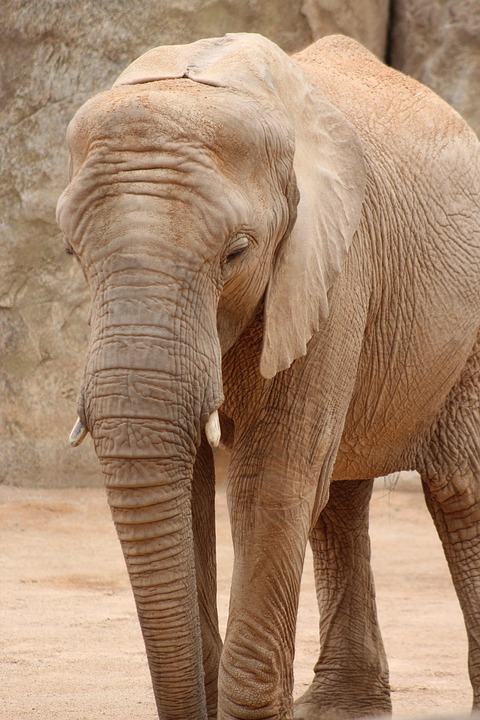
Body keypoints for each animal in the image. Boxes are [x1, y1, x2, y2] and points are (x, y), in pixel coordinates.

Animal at [56, 32, 480, 720]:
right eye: (72, 250)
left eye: (237, 251)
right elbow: (191, 484)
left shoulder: (333, 265)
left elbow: (268, 482)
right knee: (339, 495)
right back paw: (340, 707)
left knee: (456, 488)